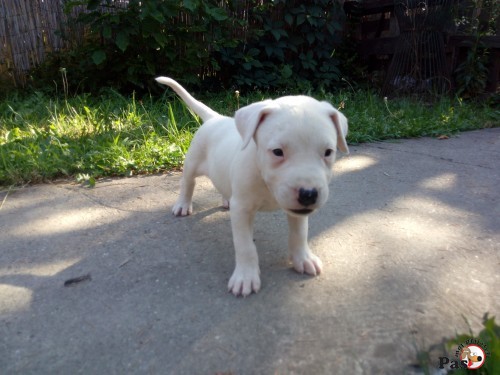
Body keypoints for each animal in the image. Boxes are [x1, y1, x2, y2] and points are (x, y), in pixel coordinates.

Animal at [155, 78, 348, 298]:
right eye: (277, 152)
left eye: (328, 152)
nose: (308, 194)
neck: (263, 178)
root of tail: (215, 119)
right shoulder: (242, 210)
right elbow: (245, 246)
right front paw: (245, 277)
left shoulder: (297, 212)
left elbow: (299, 233)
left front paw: (303, 258)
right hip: (193, 161)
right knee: (188, 182)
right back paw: (183, 204)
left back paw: (226, 200)